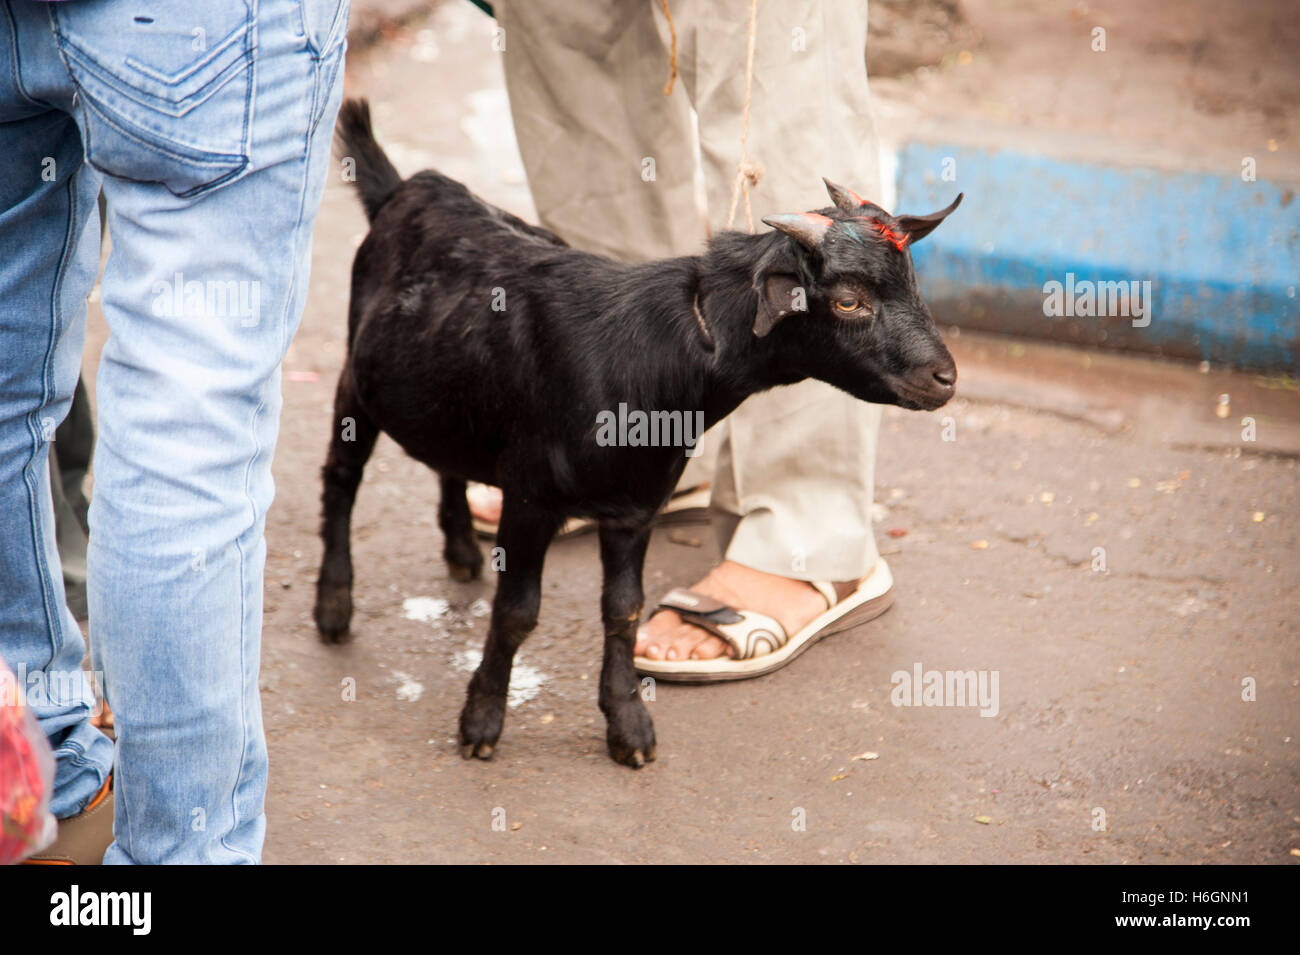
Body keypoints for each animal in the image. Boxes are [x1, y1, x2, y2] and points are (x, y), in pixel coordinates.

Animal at [315, 99, 961, 768]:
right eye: (849, 300)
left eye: (913, 283)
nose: (945, 377)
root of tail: (406, 188)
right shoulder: (530, 495)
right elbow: (517, 612)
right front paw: (482, 722)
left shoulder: (634, 507)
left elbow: (623, 610)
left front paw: (628, 727)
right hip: (355, 384)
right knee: (340, 477)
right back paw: (334, 606)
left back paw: (463, 550)